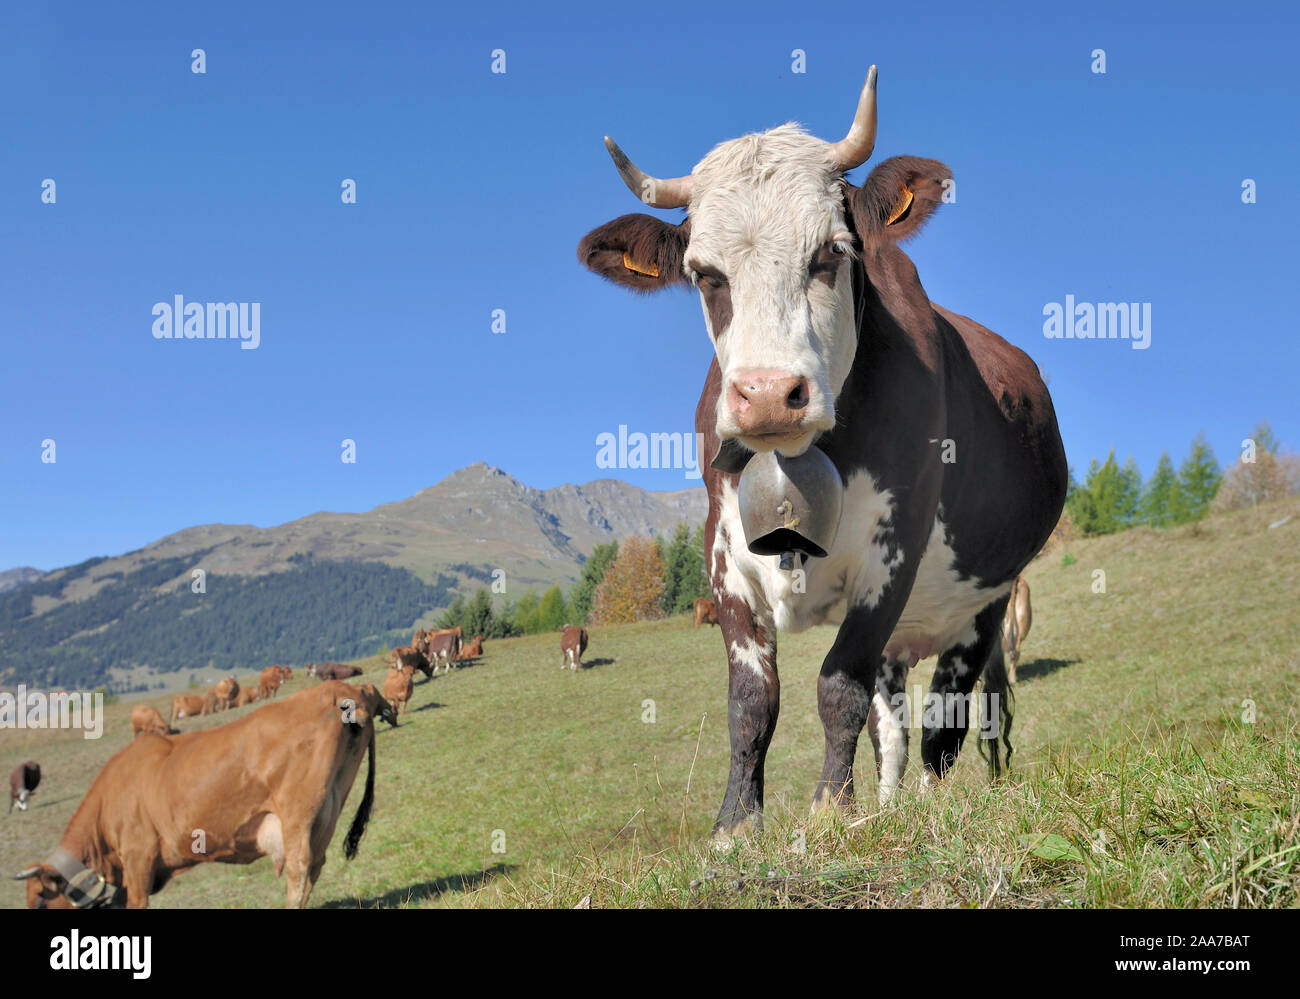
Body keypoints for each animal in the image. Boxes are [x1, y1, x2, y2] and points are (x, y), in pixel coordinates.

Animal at [12, 681, 396, 909]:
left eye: (41, 901)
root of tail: (341, 688)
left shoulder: (137, 858)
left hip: (299, 813)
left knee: (298, 868)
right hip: (329, 808)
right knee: (315, 866)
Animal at [578, 66, 1067, 843]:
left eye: (831, 252)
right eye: (704, 274)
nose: (769, 395)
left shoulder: (891, 555)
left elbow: (839, 686)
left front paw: (830, 809)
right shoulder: (725, 557)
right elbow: (752, 698)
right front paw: (736, 826)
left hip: (986, 602)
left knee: (945, 724)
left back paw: (926, 807)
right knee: (893, 728)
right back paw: (889, 806)